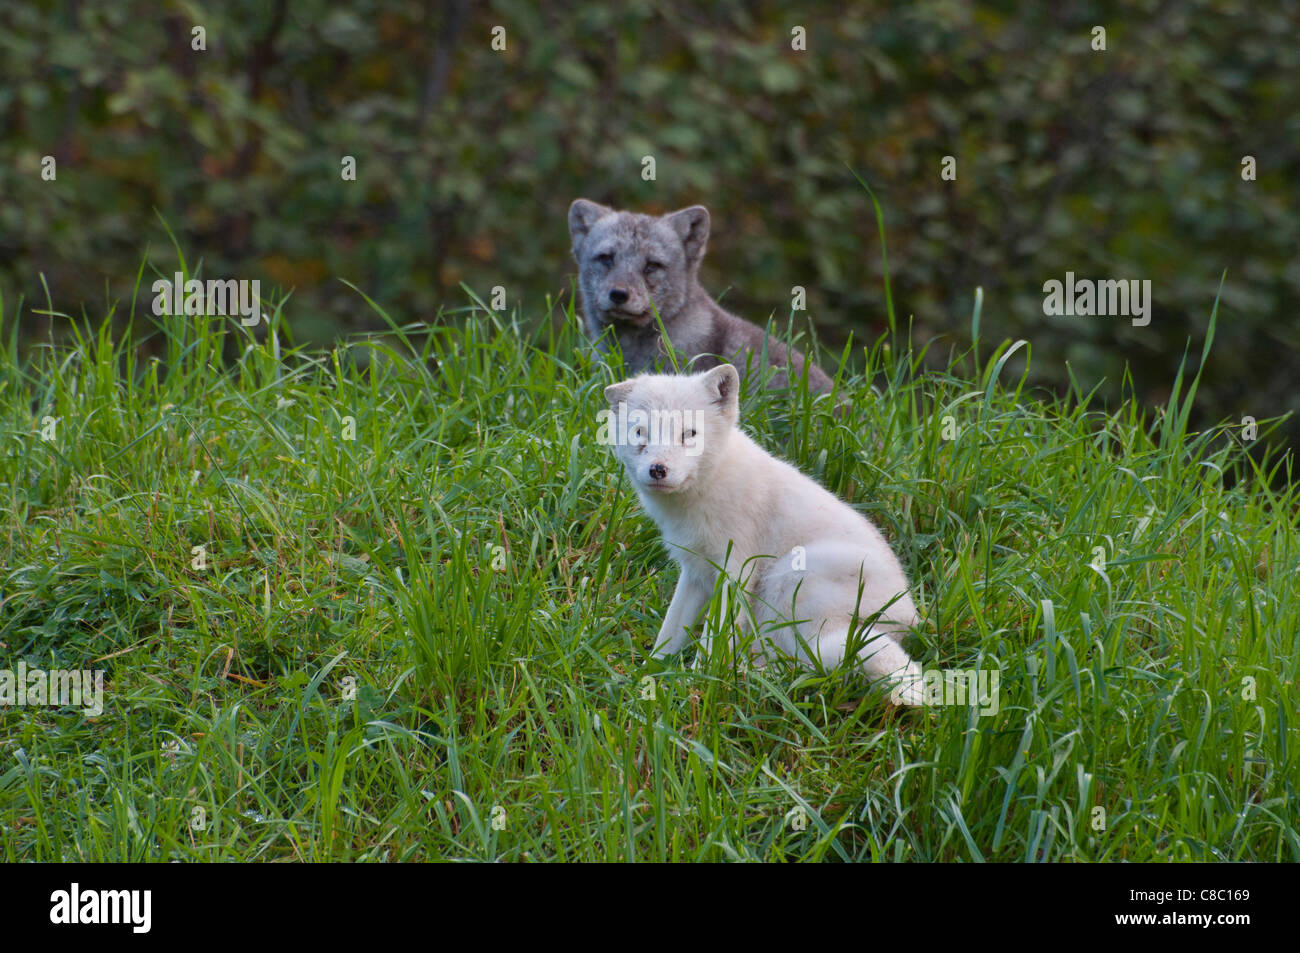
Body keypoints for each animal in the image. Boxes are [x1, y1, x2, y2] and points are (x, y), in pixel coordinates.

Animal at [603, 361, 930, 702]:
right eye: (640, 433)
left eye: (689, 434)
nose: (657, 469)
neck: (705, 489)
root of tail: (911, 620)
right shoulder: (695, 573)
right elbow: (670, 630)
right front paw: (650, 671)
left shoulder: (734, 572)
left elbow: (713, 640)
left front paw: (698, 681)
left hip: (787, 578)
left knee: (805, 662)